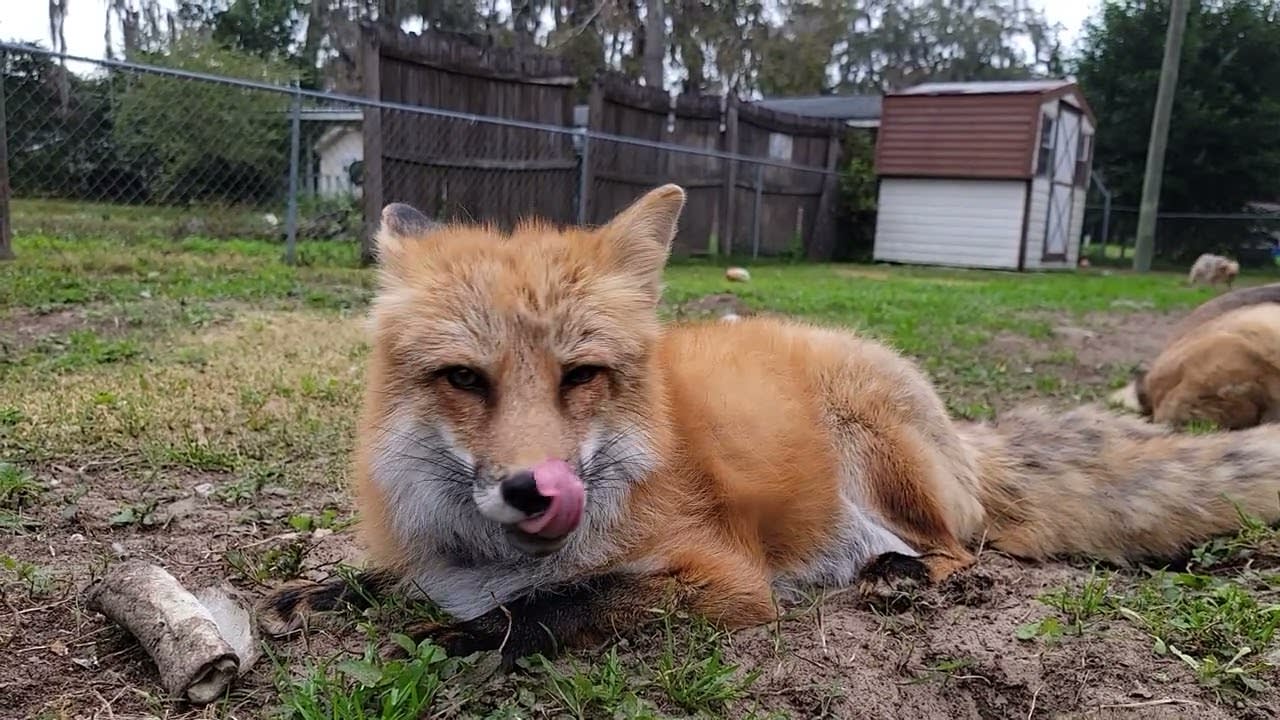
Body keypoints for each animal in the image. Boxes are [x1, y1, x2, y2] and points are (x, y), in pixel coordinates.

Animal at [261, 185, 1280, 669]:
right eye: (465, 379)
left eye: (580, 376)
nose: (534, 489)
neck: (492, 558)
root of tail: (957, 425)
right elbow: (388, 581)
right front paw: (325, 594)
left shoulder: (724, 581)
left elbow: (557, 608)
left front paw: (460, 638)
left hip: (877, 448)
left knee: (964, 549)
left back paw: (903, 582)